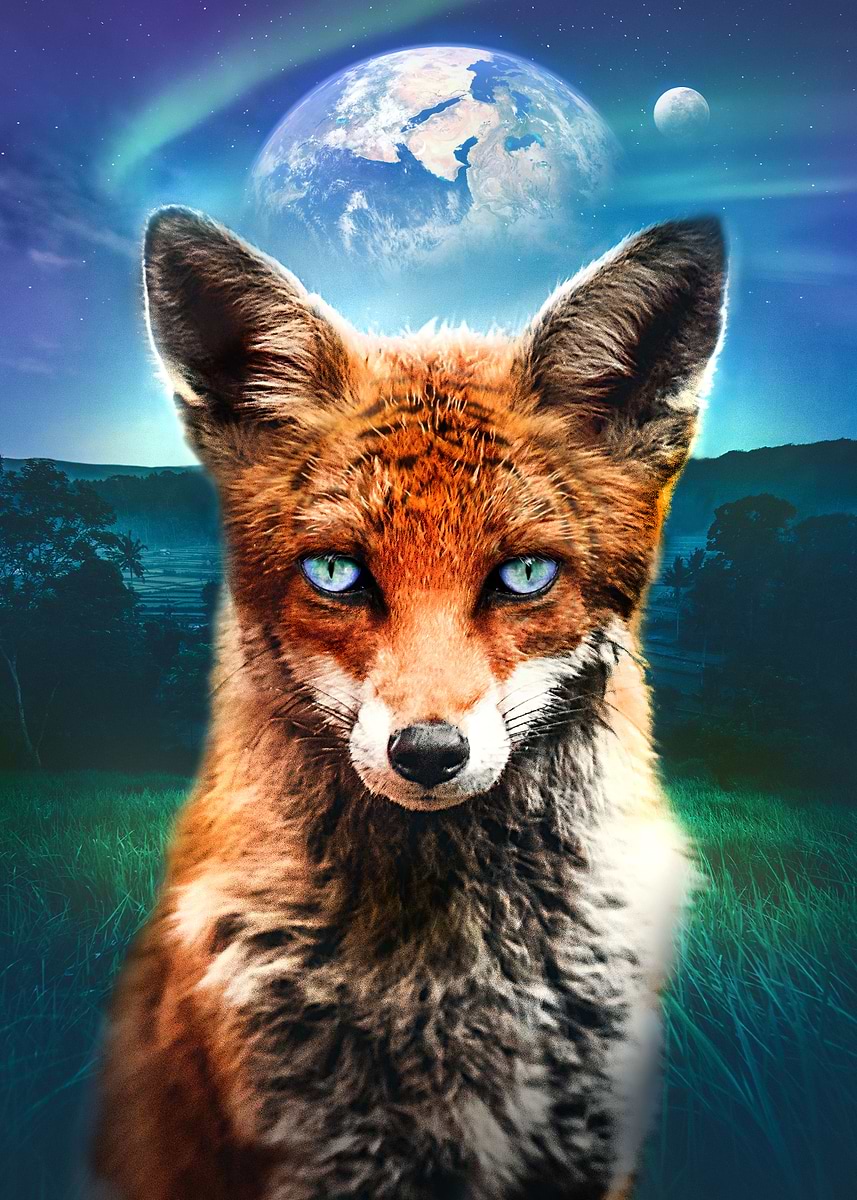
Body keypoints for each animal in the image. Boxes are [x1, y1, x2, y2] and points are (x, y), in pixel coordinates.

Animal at [91, 207, 726, 1200]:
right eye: (336, 572)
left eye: (524, 575)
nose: (427, 754)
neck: (457, 990)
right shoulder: (322, 1155)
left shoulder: (589, 1142)